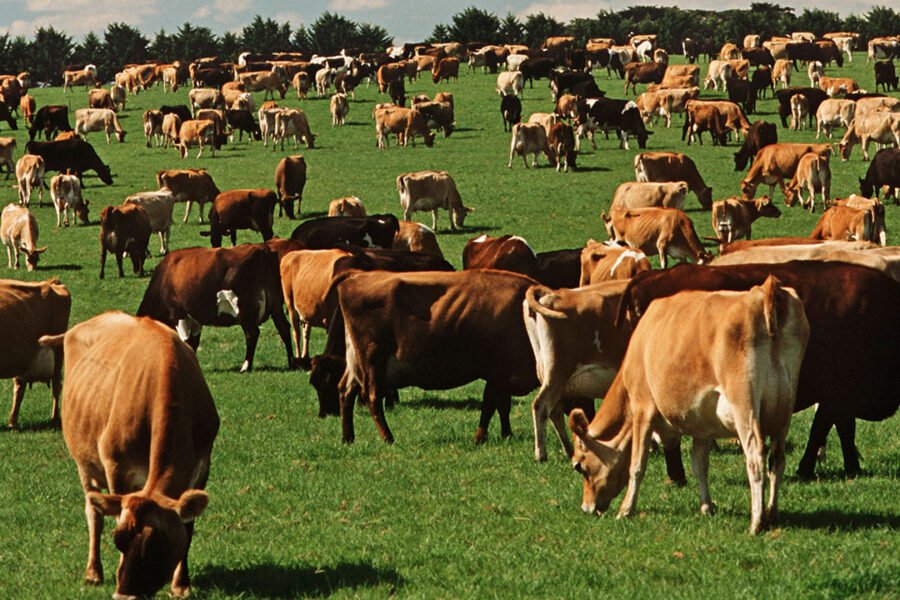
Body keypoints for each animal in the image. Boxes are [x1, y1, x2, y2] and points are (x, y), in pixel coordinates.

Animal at [0, 278, 69, 428]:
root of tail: (50, 282)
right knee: (20, 387)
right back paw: (12, 422)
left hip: (57, 351)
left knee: (56, 385)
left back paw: (54, 419)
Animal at [52, 311, 218, 598]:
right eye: (119, 540)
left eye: (157, 545)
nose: (124, 594)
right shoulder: (117, 466)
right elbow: (115, 514)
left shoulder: (202, 464)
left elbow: (188, 526)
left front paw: (181, 584)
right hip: (84, 463)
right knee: (94, 513)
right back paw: (93, 573)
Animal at [136, 245, 295, 372]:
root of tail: (262, 249)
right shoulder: (195, 318)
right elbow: (193, 343)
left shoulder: (178, 314)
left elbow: (185, 341)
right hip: (276, 306)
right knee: (284, 328)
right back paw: (292, 362)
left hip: (244, 309)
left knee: (252, 334)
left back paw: (245, 367)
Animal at [570, 276, 808, 534]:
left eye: (579, 466)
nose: (587, 508)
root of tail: (763, 291)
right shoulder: (703, 423)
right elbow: (699, 464)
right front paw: (707, 507)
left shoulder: (643, 407)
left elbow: (637, 464)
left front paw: (625, 510)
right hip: (784, 410)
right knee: (777, 459)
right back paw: (772, 514)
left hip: (745, 404)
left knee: (755, 458)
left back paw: (756, 522)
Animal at [617, 262, 900, 478]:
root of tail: (655, 275)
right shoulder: (836, 395)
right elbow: (824, 429)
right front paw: (807, 469)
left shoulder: (839, 398)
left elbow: (841, 430)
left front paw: (852, 467)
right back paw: (677, 477)